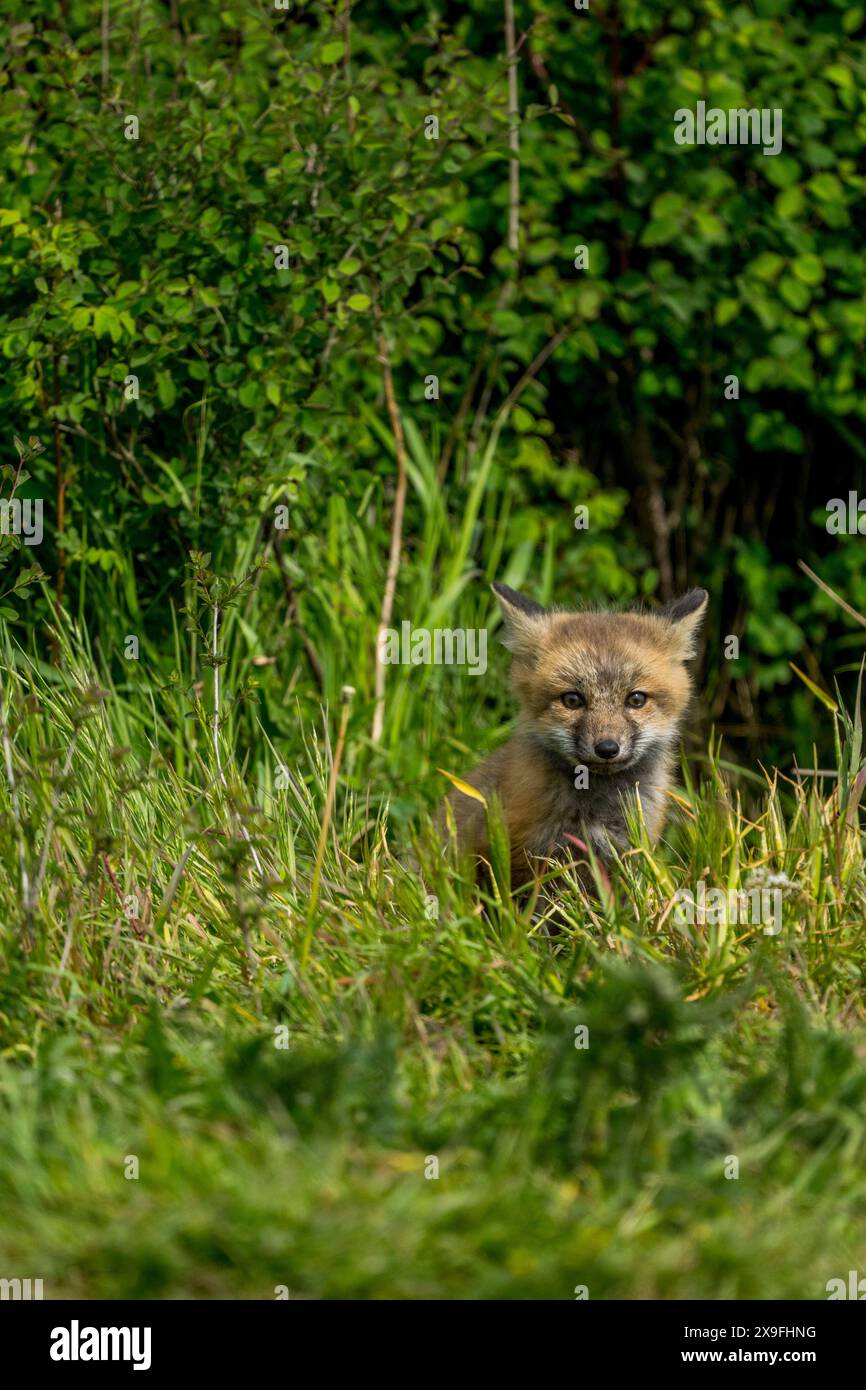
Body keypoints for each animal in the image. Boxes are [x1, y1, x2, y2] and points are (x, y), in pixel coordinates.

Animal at [442, 582, 708, 885]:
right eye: (572, 700)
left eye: (636, 699)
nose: (607, 748)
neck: (596, 810)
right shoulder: (522, 859)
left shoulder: (629, 852)